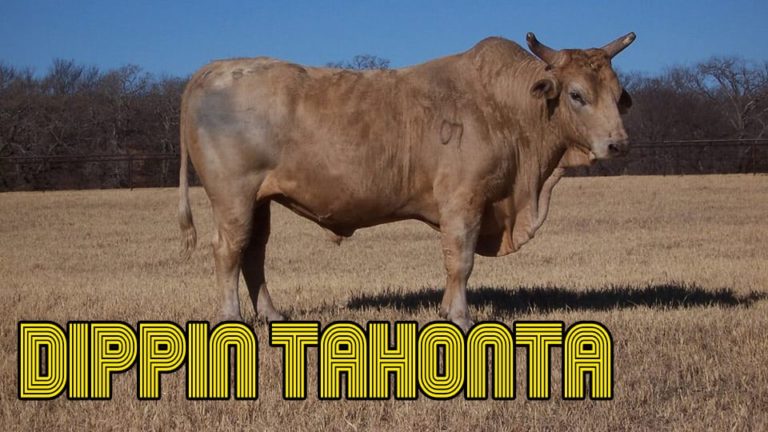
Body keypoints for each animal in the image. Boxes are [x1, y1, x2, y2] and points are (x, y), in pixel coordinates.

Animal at [178, 32, 636, 330]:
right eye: (576, 94)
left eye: (618, 95)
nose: (617, 144)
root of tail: (213, 70)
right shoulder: (463, 201)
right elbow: (460, 260)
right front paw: (460, 316)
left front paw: (447, 310)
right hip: (233, 197)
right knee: (229, 251)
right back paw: (231, 317)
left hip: (259, 200)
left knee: (254, 254)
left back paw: (271, 315)